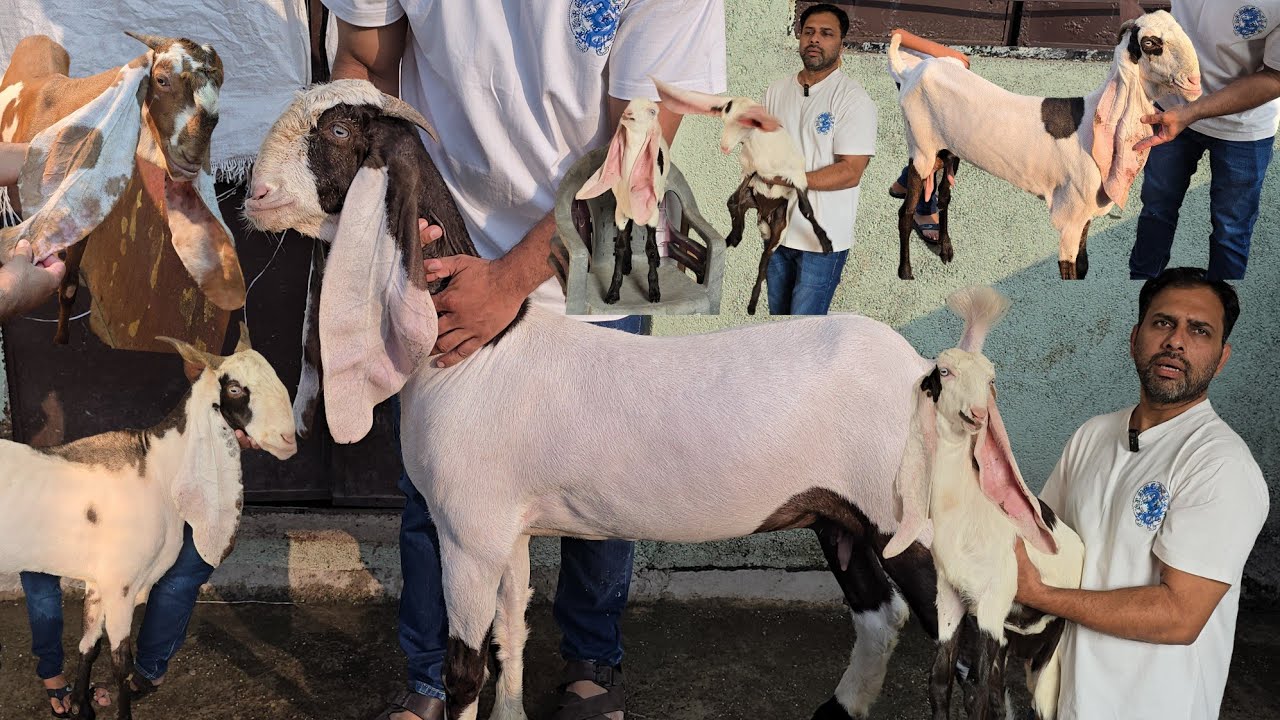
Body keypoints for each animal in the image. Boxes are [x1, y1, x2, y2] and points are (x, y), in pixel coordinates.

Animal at [0, 324, 295, 719]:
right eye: (234, 388)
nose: (288, 440)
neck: (157, 470)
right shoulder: (120, 584)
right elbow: (121, 663)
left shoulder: (100, 583)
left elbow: (89, 646)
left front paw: (82, 706)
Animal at [575, 97, 669, 304]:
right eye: (628, 104)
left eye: (652, 111)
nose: (627, 114)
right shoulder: (620, 213)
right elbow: (619, 246)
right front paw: (613, 291)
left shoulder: (651, 213)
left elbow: (651, 248)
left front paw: (654, 291)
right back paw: (627, 264)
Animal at [651, 77, 832, 315]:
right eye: (725, 117)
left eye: (746, 122)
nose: (724, 147)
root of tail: (765, 216)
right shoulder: (750, 170)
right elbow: (734, 198)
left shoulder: (797, 177)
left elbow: (807, 210)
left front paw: (826, 244)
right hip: (752, 198)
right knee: (735, 204)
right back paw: (732, 240)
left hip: (777, 233)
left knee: (764, 265)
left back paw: (752, 304)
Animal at [884, 288, 1083, 720]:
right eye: (943, 372)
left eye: (991, 380)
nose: (977, 414)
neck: (964, 516)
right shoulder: (951, 597)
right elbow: (941, 681)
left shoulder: (993, 601)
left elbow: (973, 692)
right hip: (1012, 640)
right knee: (996, 692)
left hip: (1050, 649)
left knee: (1039, 703)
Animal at [887, 11, 1202, 280]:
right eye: (1150, 43)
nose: (1194, 82)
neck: (1091, 124)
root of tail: (910, 72)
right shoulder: (1070, 212)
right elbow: (1069, 269)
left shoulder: (1085, 212)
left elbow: (1083, 265)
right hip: (921, 147)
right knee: (905, 212)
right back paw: (905, 272)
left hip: (948, 150)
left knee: (943, 197)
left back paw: (946, 249)